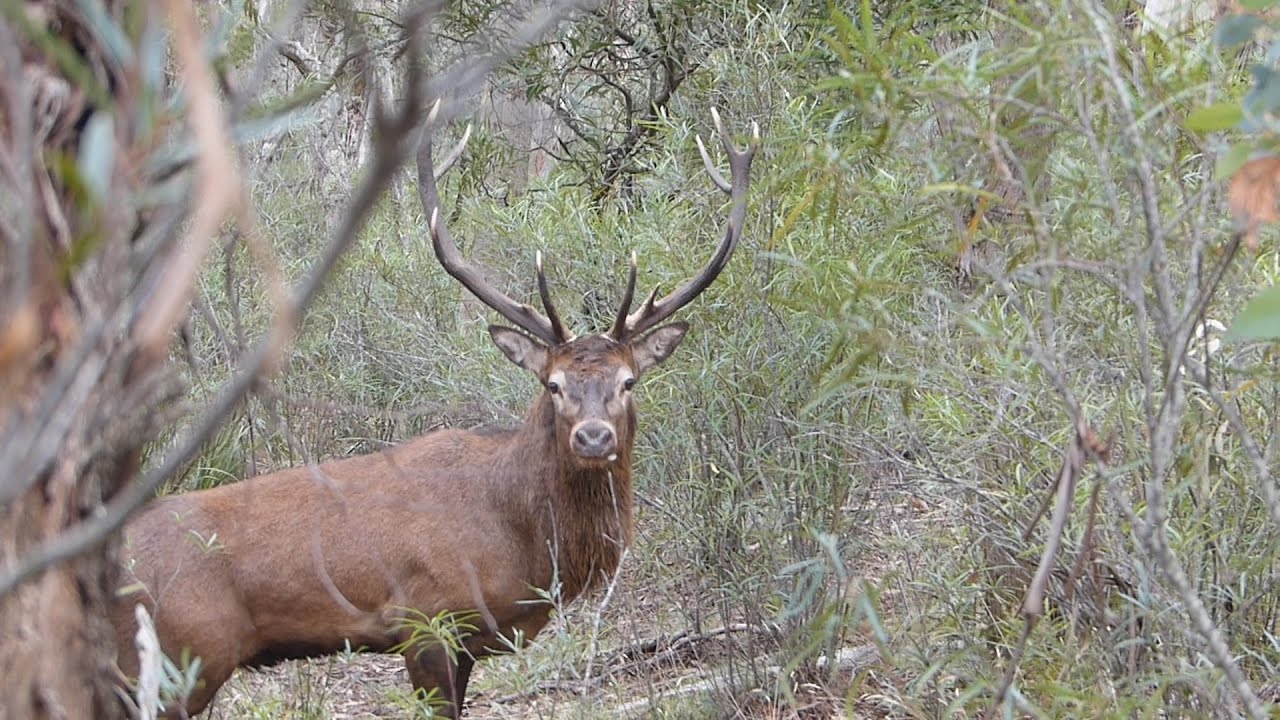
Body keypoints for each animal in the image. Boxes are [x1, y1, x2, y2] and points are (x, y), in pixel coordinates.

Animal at [110, 105, 757, 718]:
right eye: (552, 384)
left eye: (628, 381)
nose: (594, 438)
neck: (521, 541)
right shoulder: (425, 619)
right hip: (179, 657)